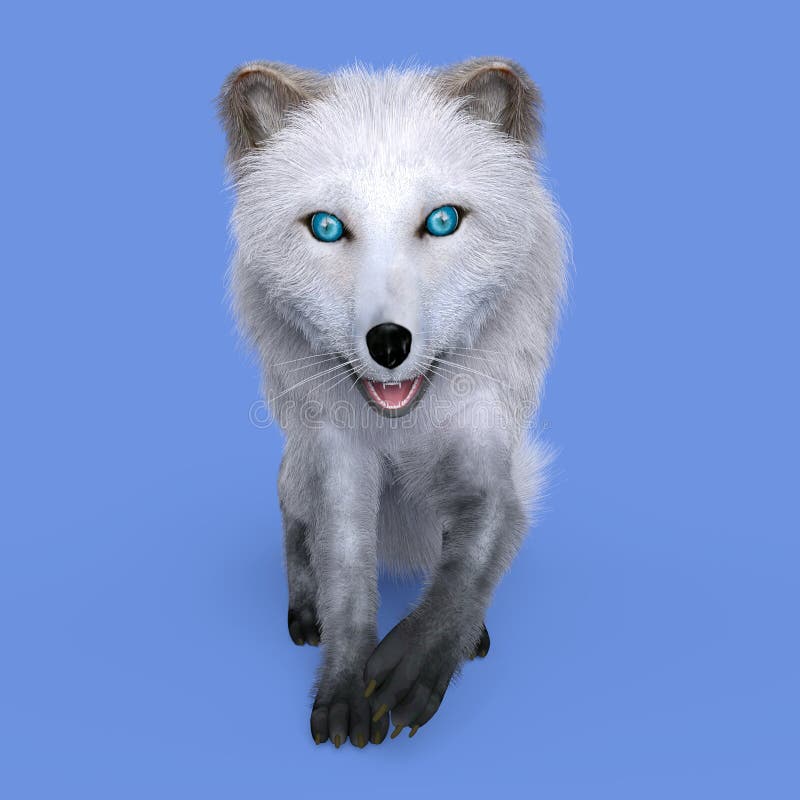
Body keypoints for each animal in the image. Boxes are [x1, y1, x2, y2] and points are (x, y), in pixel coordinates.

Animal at [217, 57, 567, 748]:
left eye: (443, 220)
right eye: (326, 227)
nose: (388, 344)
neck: (401, 432)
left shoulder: (489, 456)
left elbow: (472, 557)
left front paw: (416, 666)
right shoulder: (338, 458)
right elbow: (348, 573)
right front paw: (346, 685)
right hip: (298, 468)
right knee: (291, 518)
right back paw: (303, 608)